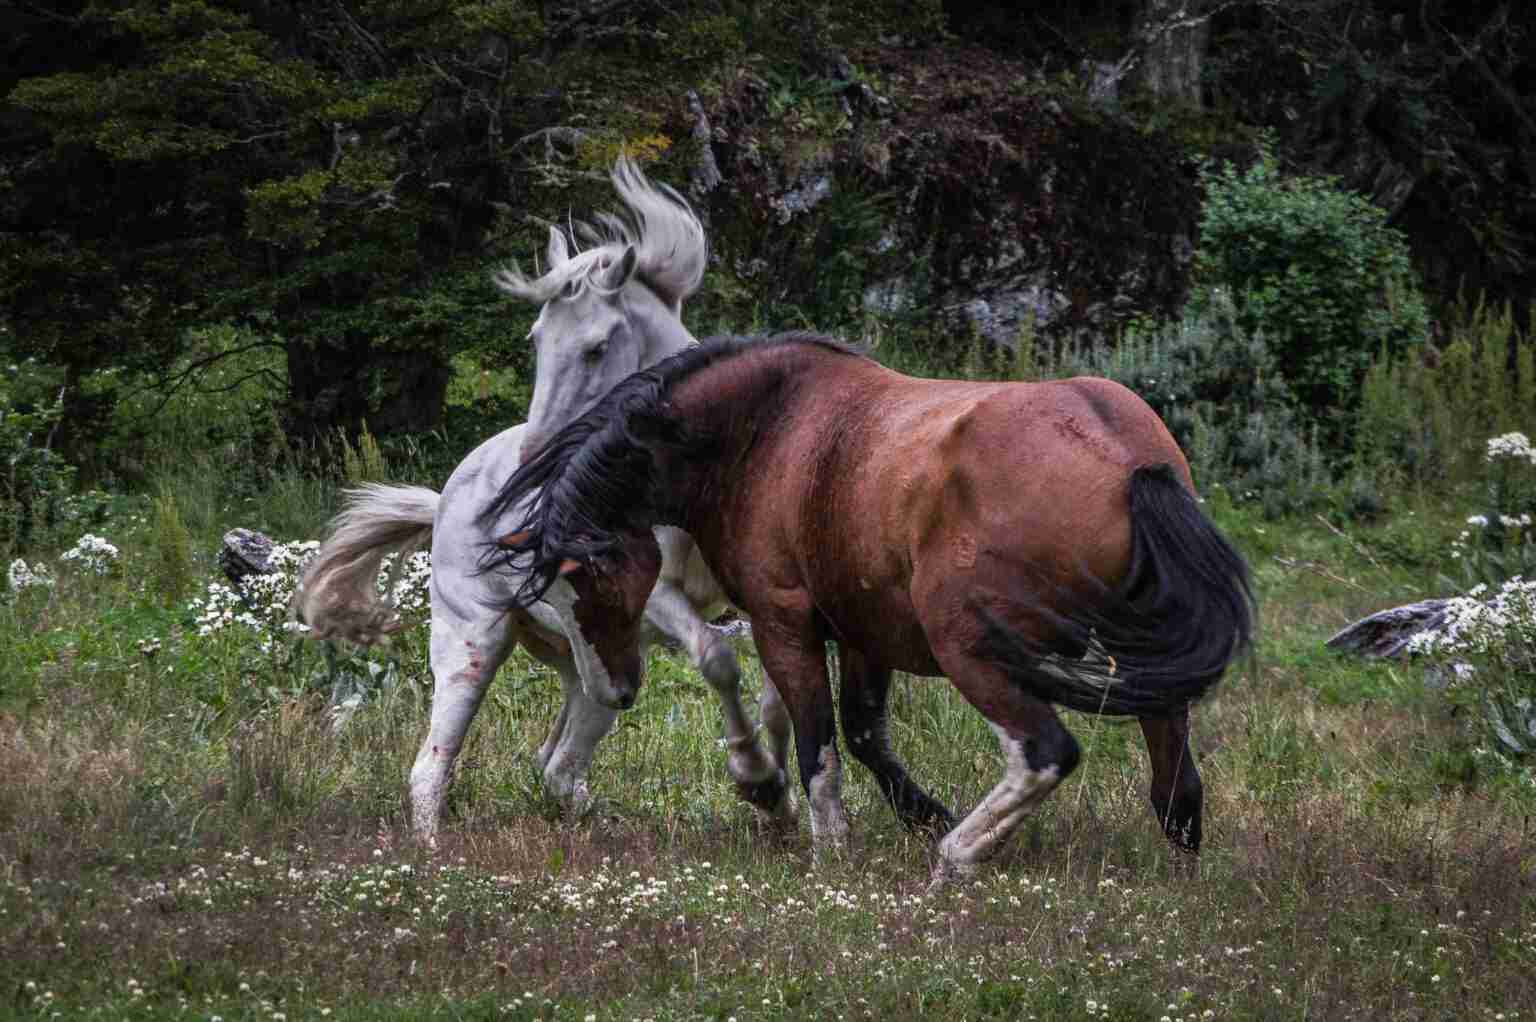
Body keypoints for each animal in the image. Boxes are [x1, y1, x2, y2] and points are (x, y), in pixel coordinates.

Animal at [293, 160, 791, 844]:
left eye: (596, 347)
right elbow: (717, 658)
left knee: (555, 765)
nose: (533, 461)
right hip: (472, 646)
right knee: (435, 764)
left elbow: (776, 690)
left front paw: (787, 798)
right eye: (535, 339)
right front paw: (757, 778)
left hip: (592, 666)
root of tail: (445, 500)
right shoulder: (652, 595)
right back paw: (432, 852)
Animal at [484, 333, 1255, 884]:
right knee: (1176, 787)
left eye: (590, 585)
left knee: (1045, 754)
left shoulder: (785, 625)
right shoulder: (862, 635)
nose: (613, 691)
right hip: (1146, 671)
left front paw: (827, 842)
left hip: (970, 649)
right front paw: (917, 813)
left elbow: (816, 743)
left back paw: (958, 857)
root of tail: (1130, 463)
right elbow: (862, 735)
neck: (763, 429)